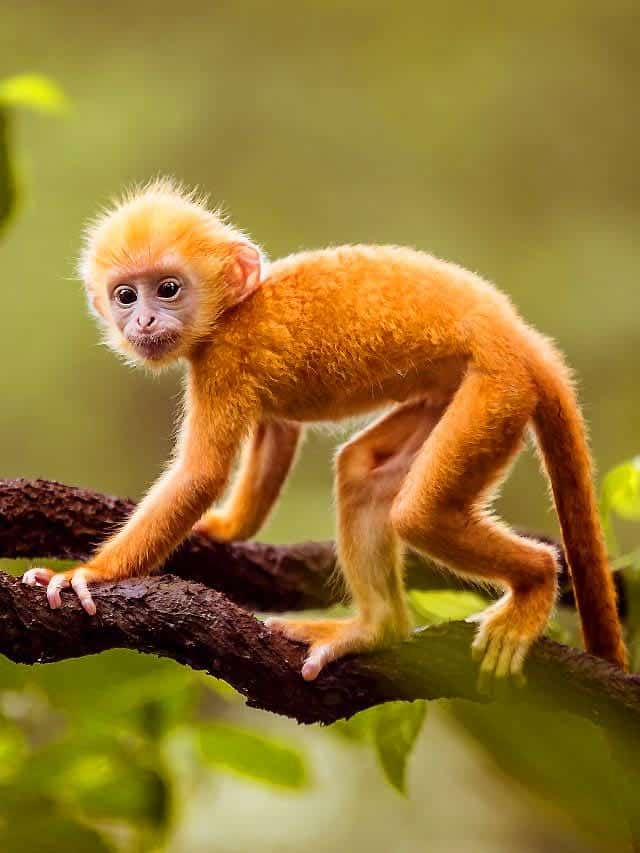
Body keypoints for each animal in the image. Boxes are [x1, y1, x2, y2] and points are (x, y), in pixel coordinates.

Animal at [23, 178, 626, 683]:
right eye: (126, 295)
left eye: (167, 289)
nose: (143, 320)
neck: (234, 309)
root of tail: (519, 336)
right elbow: (277, 429)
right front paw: (223, 528)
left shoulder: (226, 359)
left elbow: (201, 474)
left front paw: (89, 575)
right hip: (458, 394)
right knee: (364, 473)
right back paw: (377, 628)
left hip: (497, 390)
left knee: (420, 513)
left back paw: (535, 581)